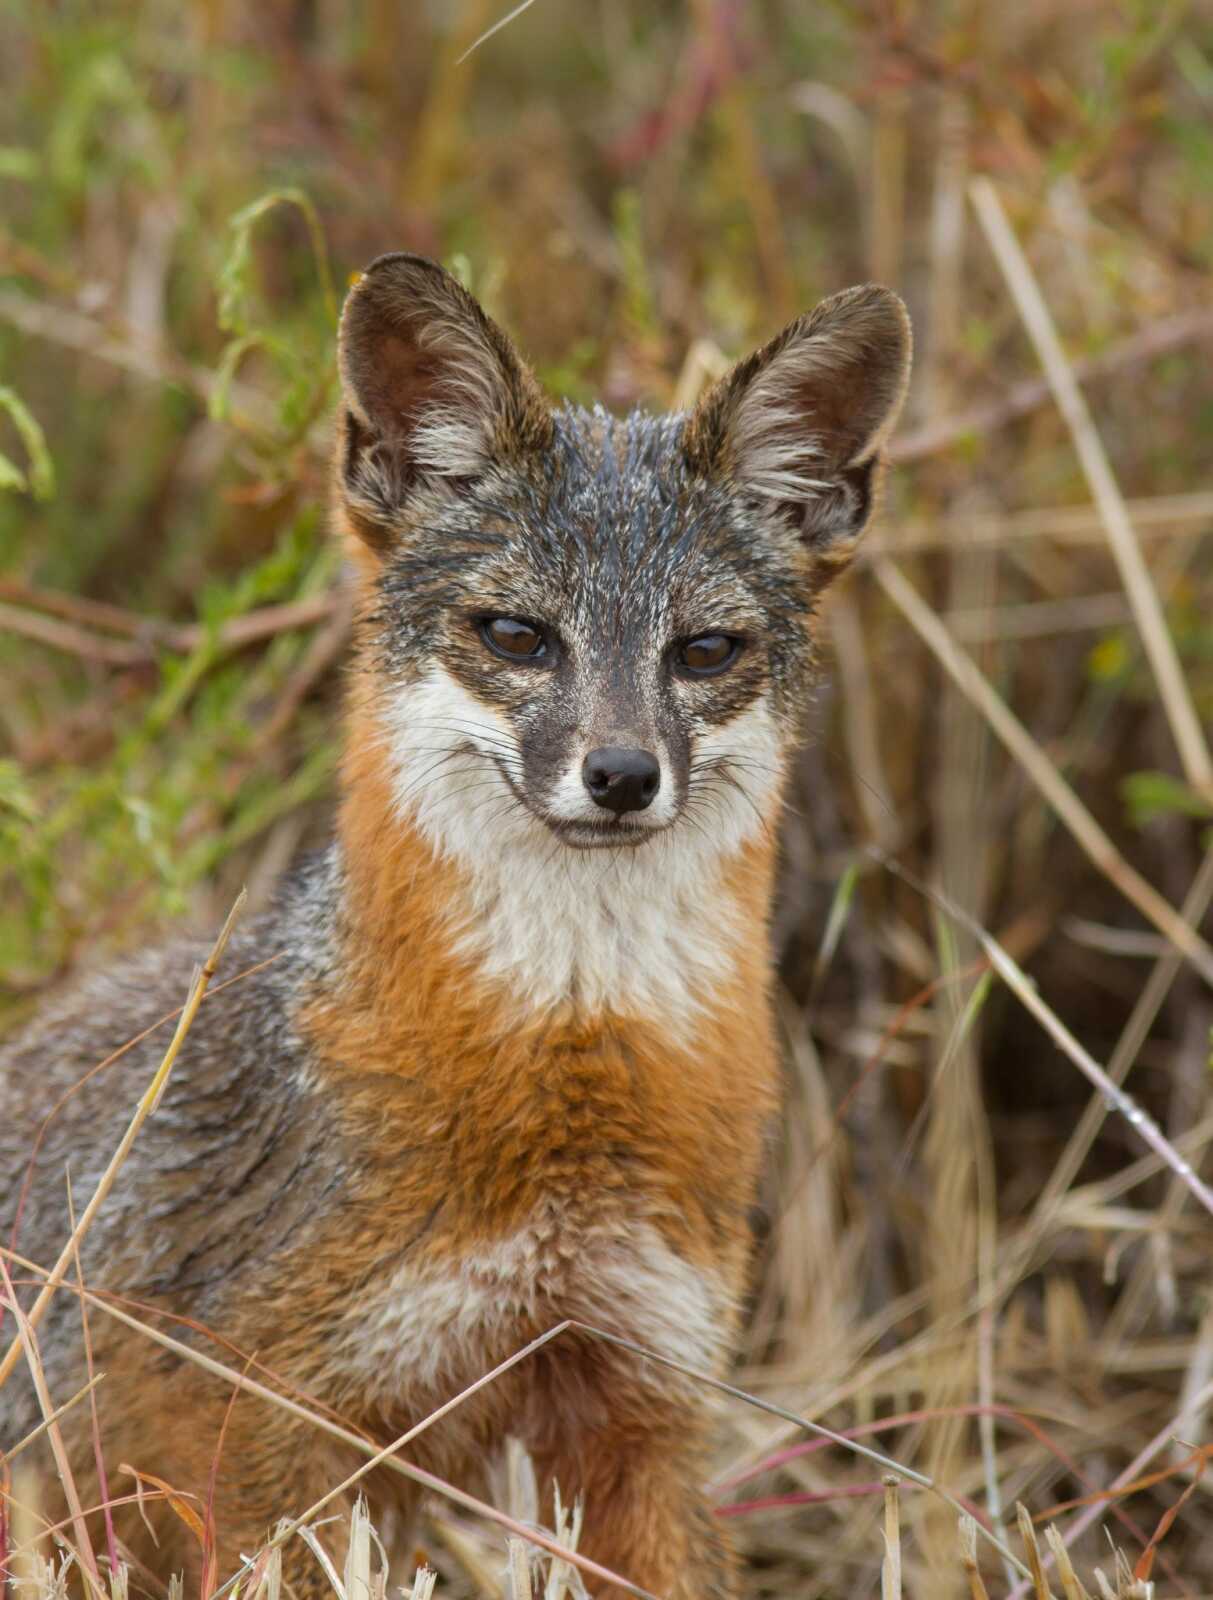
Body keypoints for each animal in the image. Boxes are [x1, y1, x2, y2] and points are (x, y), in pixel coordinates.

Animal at [0, 253, 910, 1599]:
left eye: (702, 652)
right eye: (518, 637)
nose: (622, 775)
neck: (571, 1071)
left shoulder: (641, 1402)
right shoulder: (276, 1430)